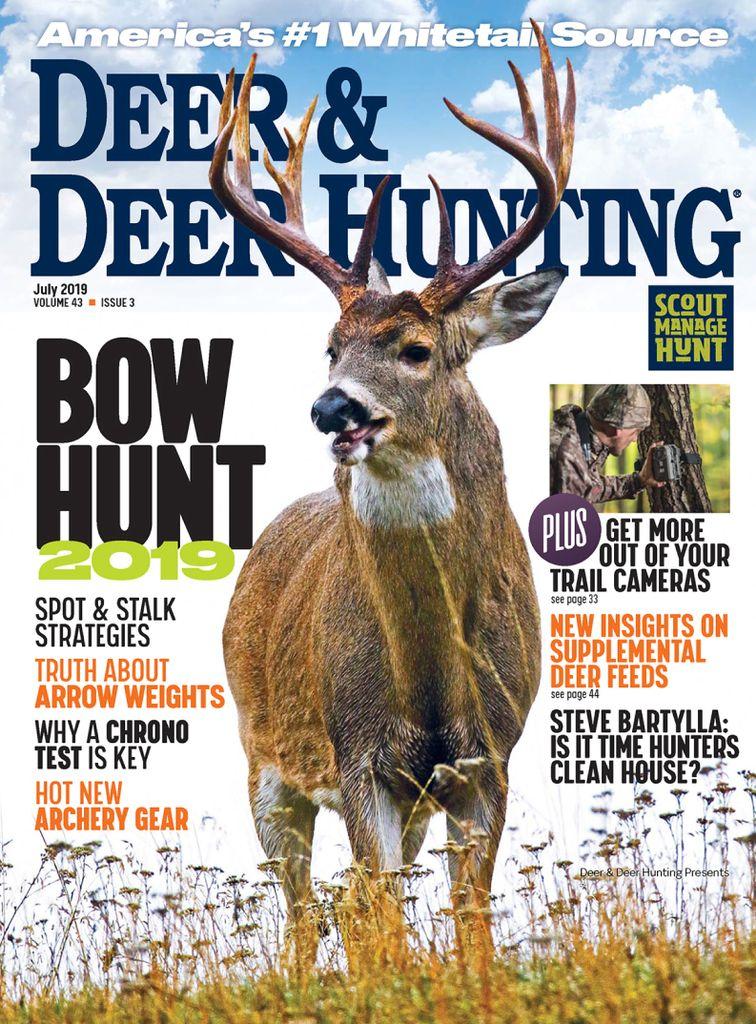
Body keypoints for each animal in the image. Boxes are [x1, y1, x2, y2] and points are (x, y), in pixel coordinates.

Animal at [214, 21, 575, 957]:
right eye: (329, 347)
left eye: (415, 349)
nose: (331, 406)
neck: (429, 676)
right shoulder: (358, 755)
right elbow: (379, 912)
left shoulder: (491, 756)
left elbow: (468, 916)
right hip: (264, 756)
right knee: (307, 909)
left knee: (350, 902)